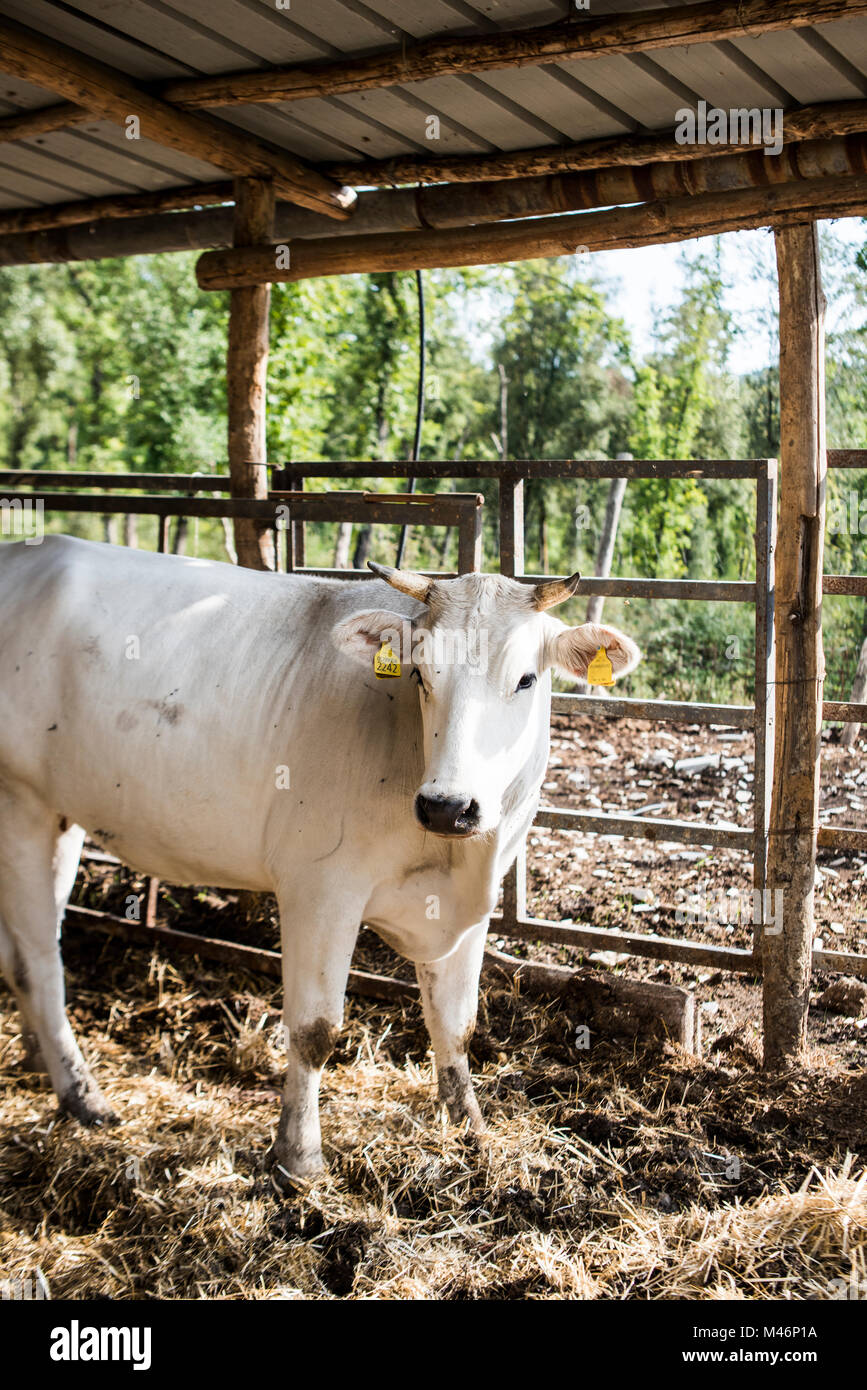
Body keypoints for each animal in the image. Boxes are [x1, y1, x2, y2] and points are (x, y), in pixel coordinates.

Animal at [0, 535, 639, 1181]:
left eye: (526, 680)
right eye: (420, 673)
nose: (446, 807)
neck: (453, 859)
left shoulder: (468, 909)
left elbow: (456, 1025)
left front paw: (471, 1132)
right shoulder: (320, 889)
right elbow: (314, 1031)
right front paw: (299, 1157)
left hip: (61, 817)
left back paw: (37, 1057)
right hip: (19, 805)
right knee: (37, 959)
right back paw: (81, 1093)